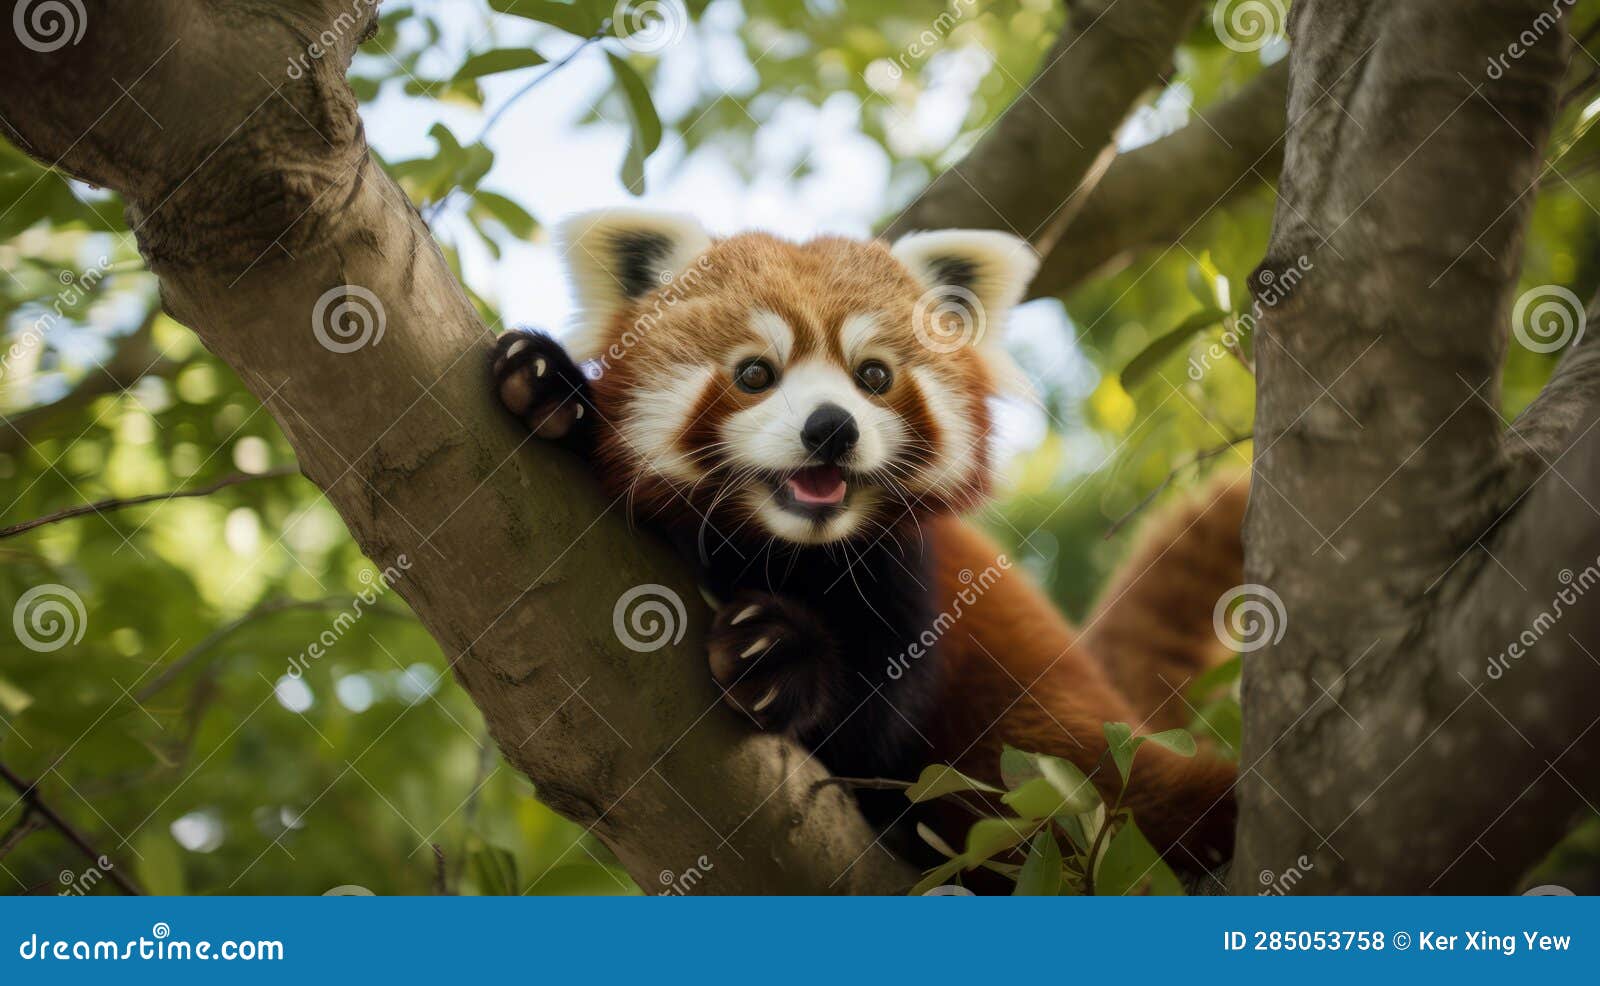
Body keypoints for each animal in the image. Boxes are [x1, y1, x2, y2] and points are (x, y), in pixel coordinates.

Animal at [491, 209, 1245, 868]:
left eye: (873, 376)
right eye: (755, 373)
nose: (832, 428)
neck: (778, 545)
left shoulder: (911, 576)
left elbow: (874, 737)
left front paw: (781, 654)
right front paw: (550, 384)